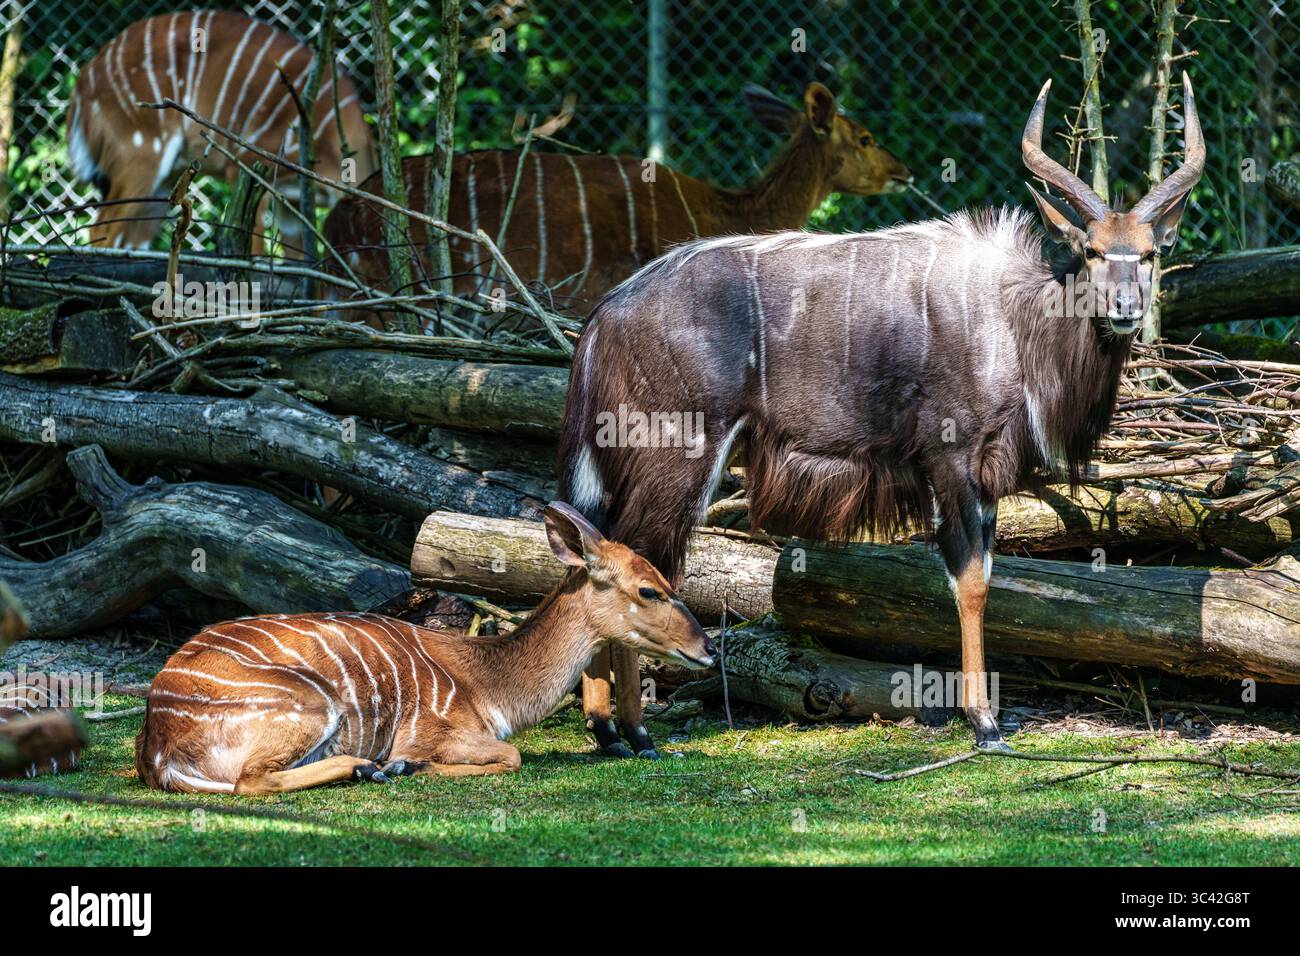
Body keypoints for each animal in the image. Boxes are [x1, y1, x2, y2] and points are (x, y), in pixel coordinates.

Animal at [67, 10, 376, 252]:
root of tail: (83, 79)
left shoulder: (292, 205)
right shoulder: (249, 166)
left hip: (164, 181)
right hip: (141, 153)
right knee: (102, 228)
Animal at [134, 503, 714, 793]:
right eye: (649, 589)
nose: (707, 647)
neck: (490, 684)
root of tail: (159, 749)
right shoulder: (433, 733)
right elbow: (511, 755)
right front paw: (404, 768)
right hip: (309, 704)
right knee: (249, 782)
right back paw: (370, 769)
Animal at [558, 74, 1205, 755]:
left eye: (1151, 253)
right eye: (1092, 250)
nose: (1127, 309)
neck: (1009, 318)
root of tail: (602, 318)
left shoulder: (984, 477)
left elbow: (987, 572)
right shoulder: (950, 458)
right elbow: (970, 581)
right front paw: (984, 723)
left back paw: (606, 728)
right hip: (678, 457)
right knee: (638, 553)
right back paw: (636, 732)